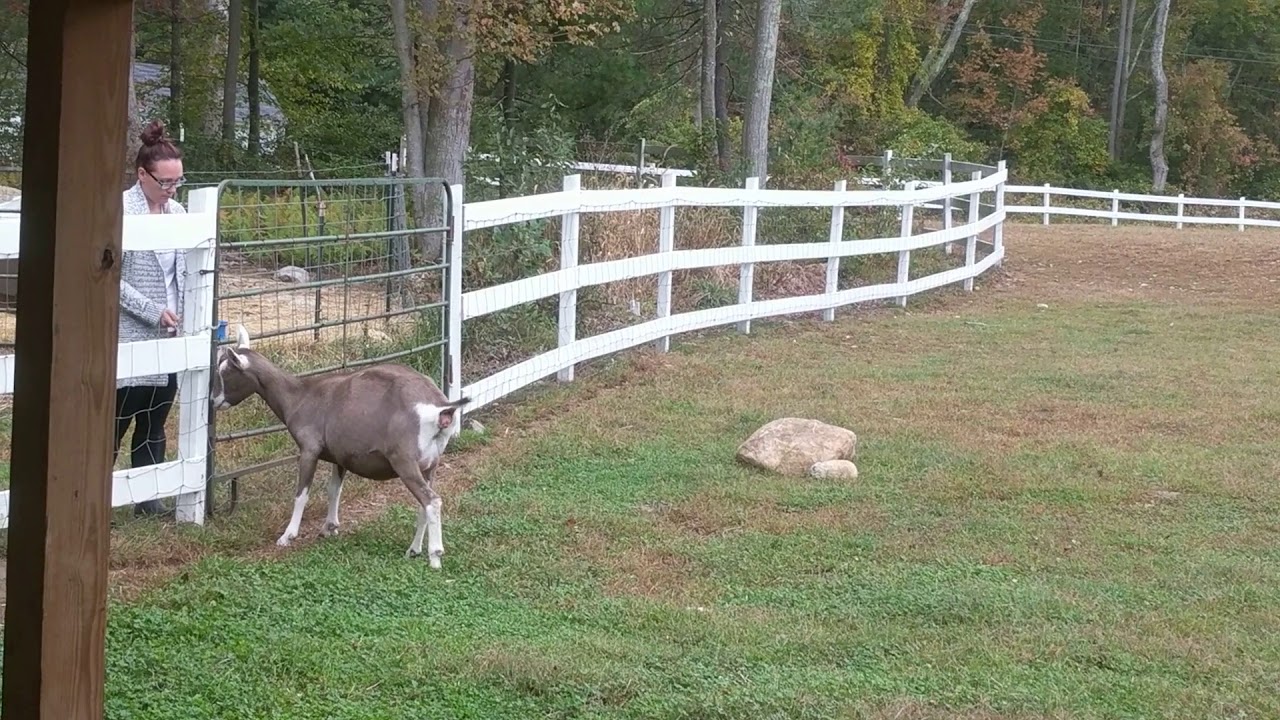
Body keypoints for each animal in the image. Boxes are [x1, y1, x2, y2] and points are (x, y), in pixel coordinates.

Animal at [211, 325, 470, 568]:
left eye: (225, 372)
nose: (214, 401)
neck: (299, 396)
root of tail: (441, 409)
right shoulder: (340, 455)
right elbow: (334, 489)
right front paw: (330, 527)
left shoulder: (309, 449)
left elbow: (301, 493)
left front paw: (288, 536)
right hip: (430, 464)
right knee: (423, 504)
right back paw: (413, 550)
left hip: (404, 461)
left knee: (432, 501)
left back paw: (434, 557)